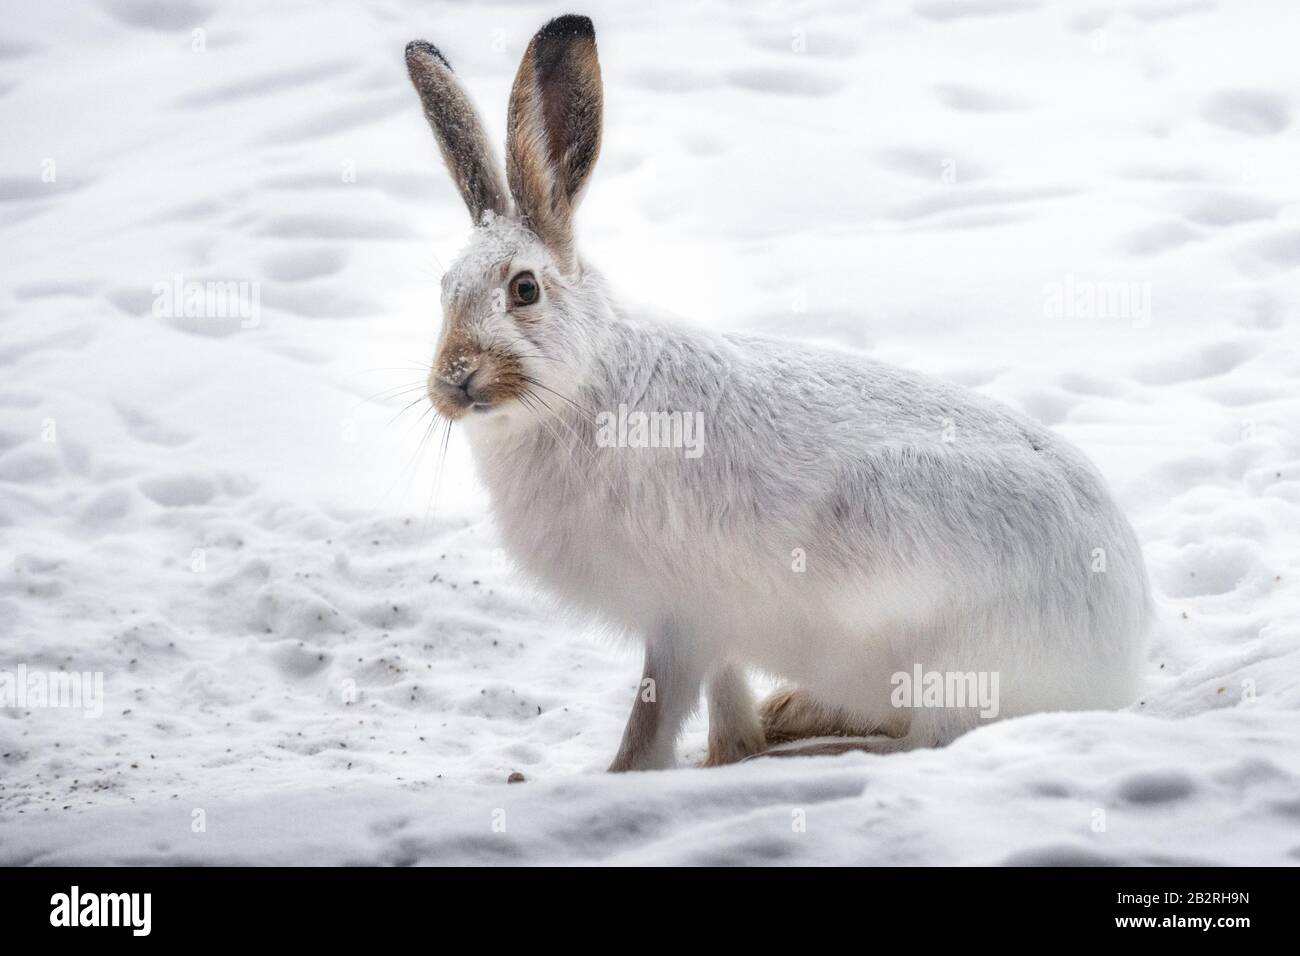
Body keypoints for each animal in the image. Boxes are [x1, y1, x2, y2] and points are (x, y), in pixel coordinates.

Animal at [403, 15, 1152, 772]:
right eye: (442, 292)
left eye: (524, 289)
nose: (456, 379)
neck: (577, 386)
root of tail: (1122, 640)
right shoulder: (712, 636)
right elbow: (725, 704)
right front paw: (729, 753)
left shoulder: (681, 620)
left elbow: (654, 715)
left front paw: (624, 775)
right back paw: (790, 715)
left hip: (932, 633)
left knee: (932, 737)